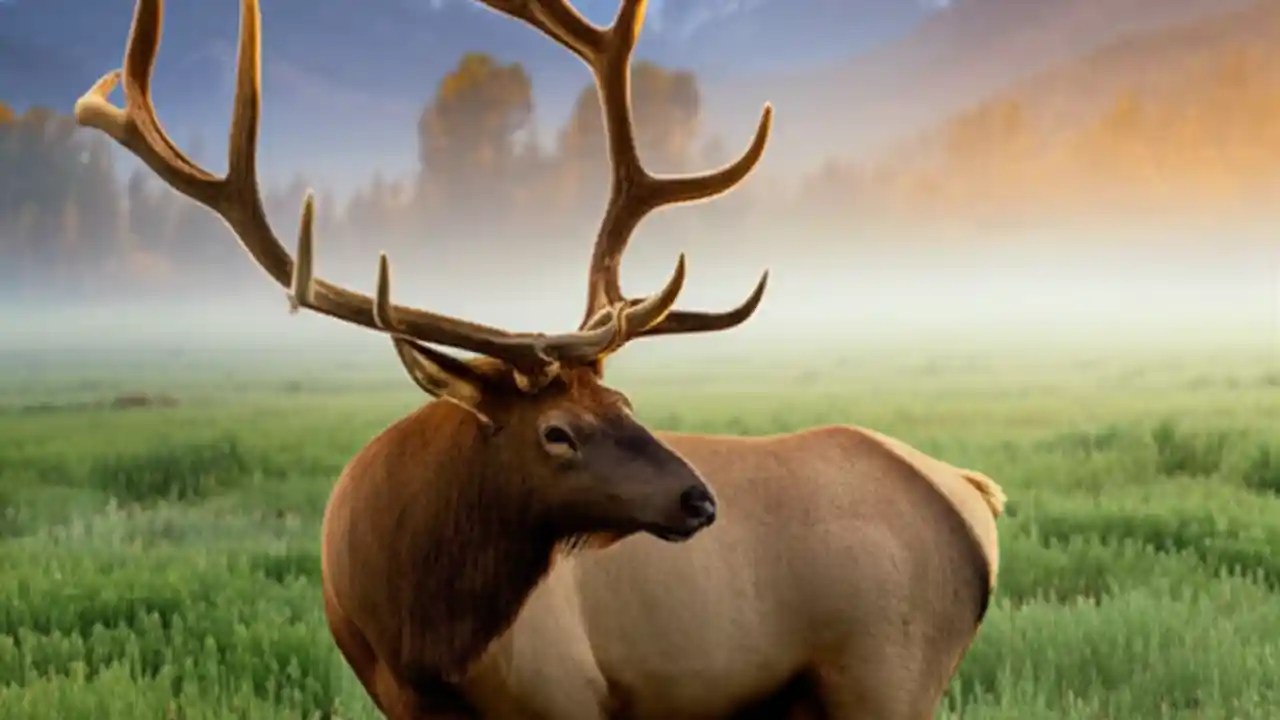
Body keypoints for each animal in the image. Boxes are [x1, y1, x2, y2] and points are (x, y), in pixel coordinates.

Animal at [75, 0, 1007, 717]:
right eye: (559, 430)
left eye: (625, 407)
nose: (700, 500)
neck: (419, 628)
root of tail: (976, 500)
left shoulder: (565, 691)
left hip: (886, 669)